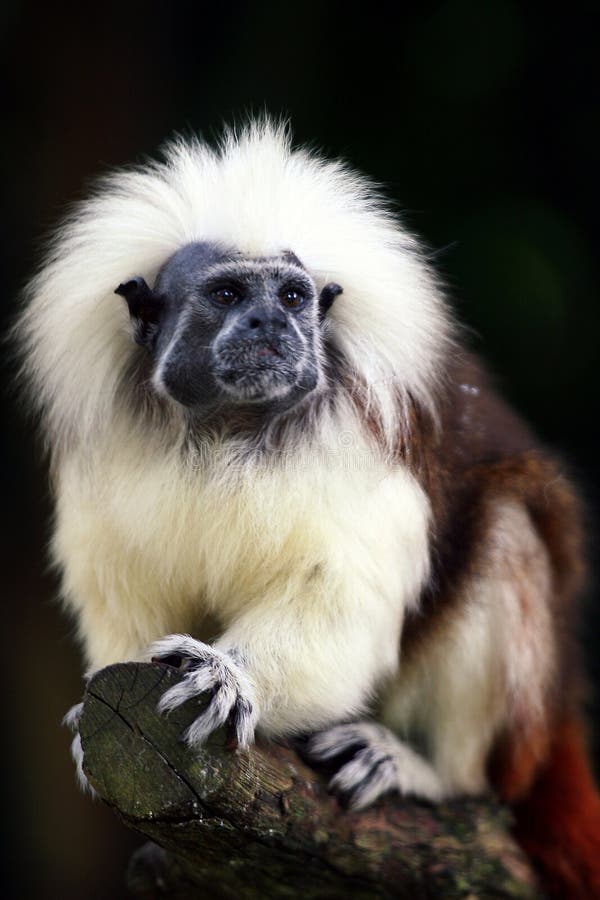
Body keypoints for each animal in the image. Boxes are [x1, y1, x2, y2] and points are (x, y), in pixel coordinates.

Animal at [16, 120, 600, 898]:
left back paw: (430, 771)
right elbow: (129, 607)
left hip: (521, 743)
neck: (227, 430)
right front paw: (91, 715)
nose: (269, 321)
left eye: (293, 297)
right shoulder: (105, 474)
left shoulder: (358, 450)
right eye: (228, 292)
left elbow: (338, 603)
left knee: (506, 531)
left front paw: (230, 678)